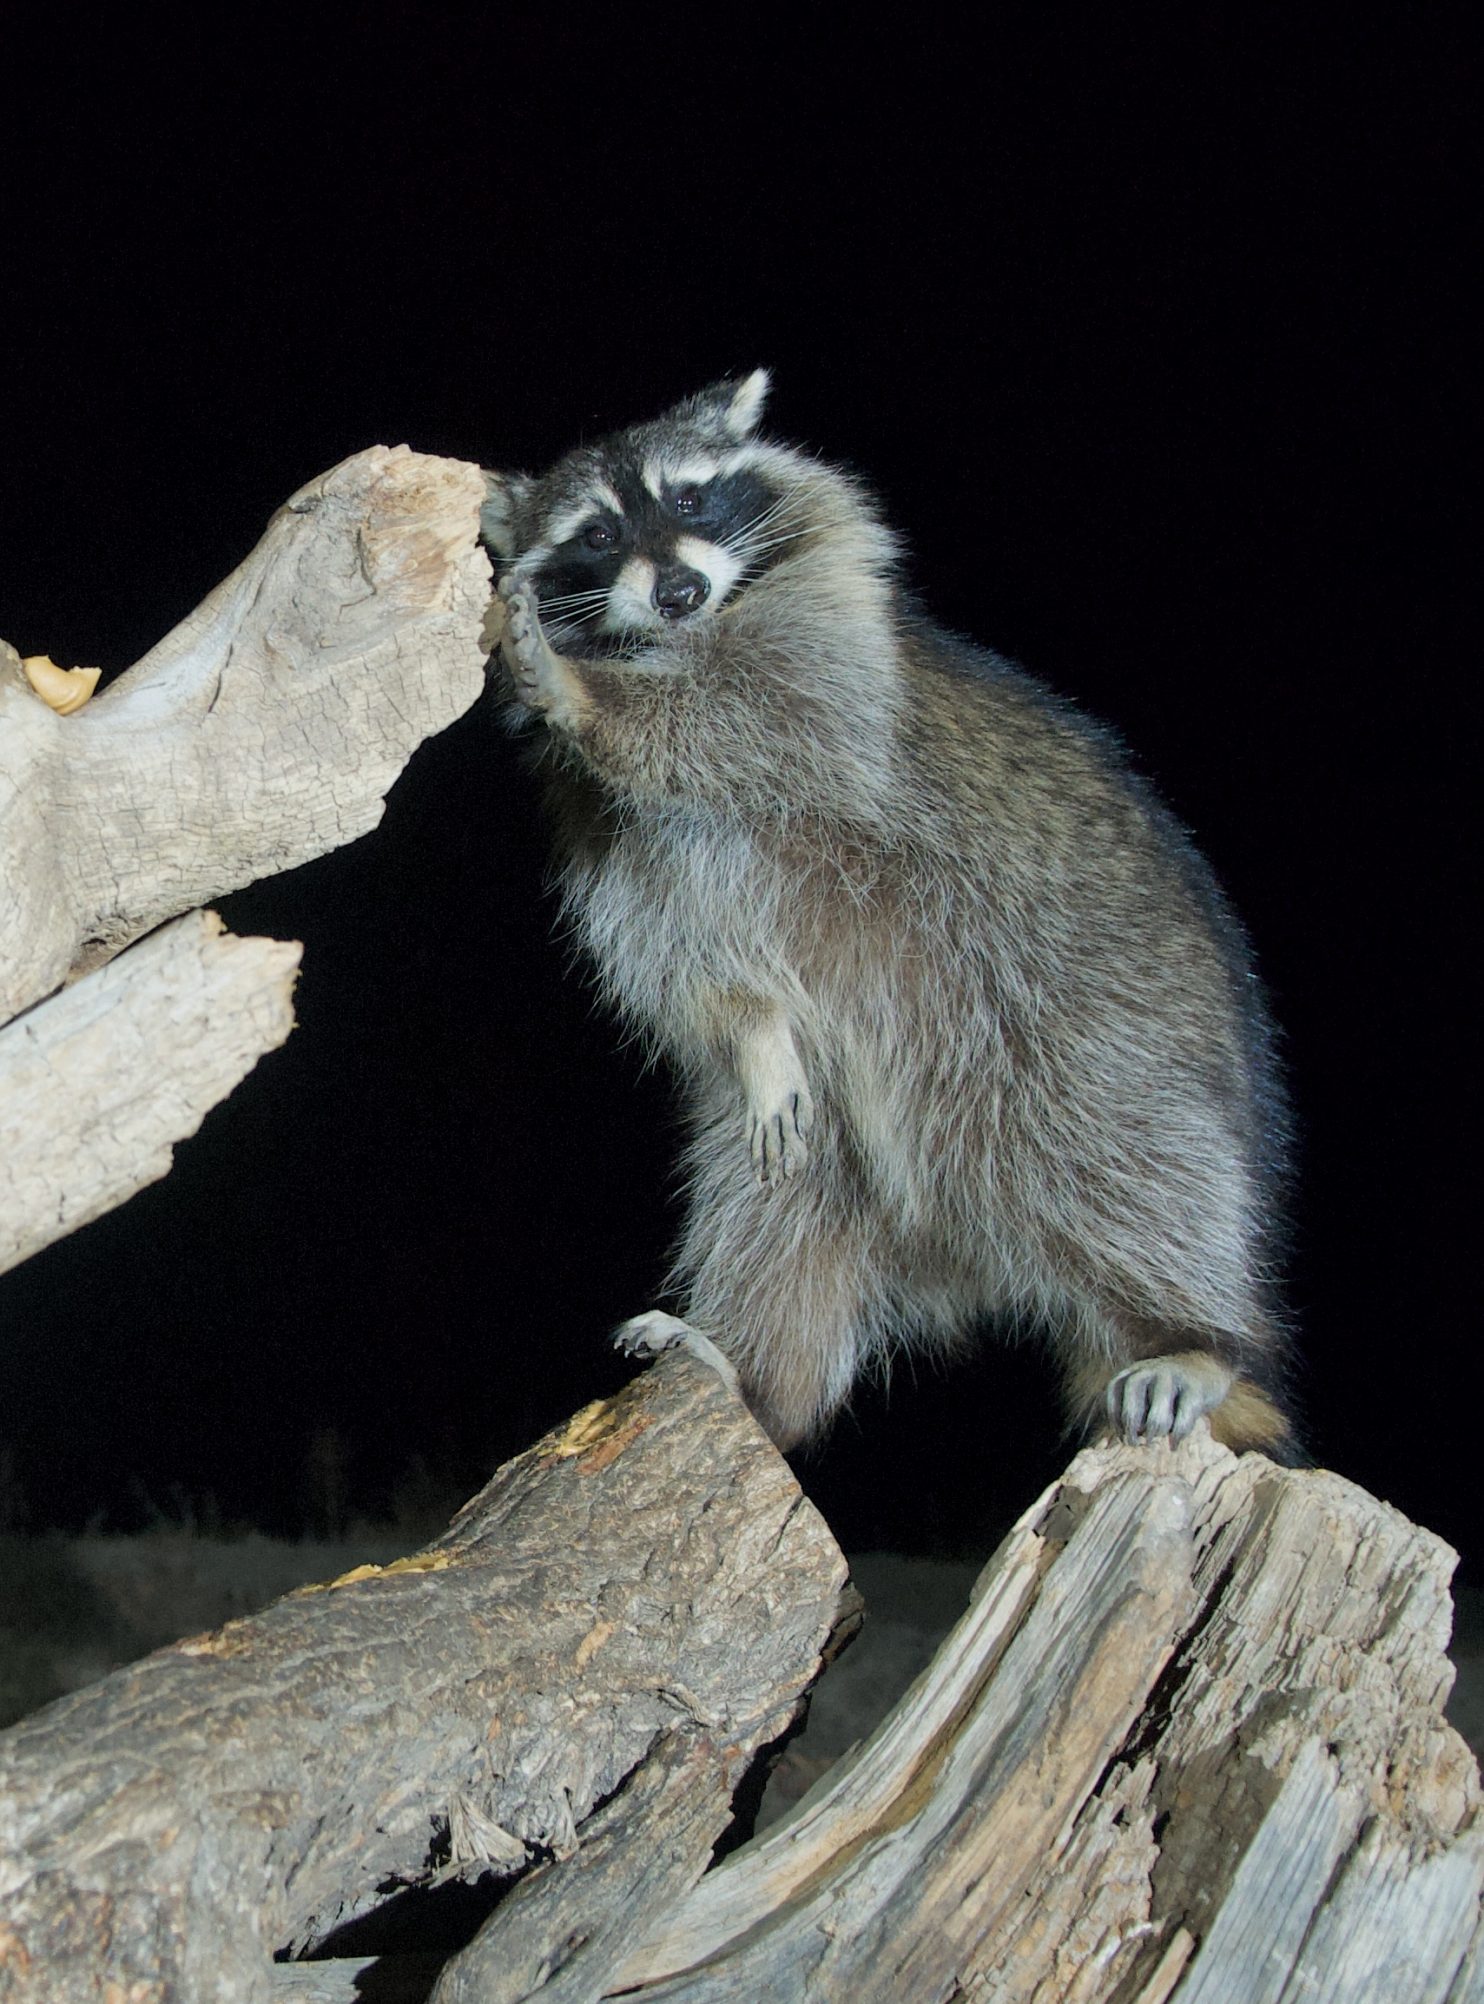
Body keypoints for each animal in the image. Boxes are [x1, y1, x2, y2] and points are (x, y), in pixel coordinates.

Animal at [480, 372, 1297, 1461]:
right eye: (599, 535)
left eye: (691, 498)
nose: (678, 591)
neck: (665, 640)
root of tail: (952, 1255)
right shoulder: (596, 828)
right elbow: (679, 958)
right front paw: (752, 1026)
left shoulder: (833, 650)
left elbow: (757, 704)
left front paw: (587, 691)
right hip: (846, 1138)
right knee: (778, 1208)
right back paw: (751, 1371)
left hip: (1097, 1031)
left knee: (1126, 1165)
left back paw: (1191, 1337)